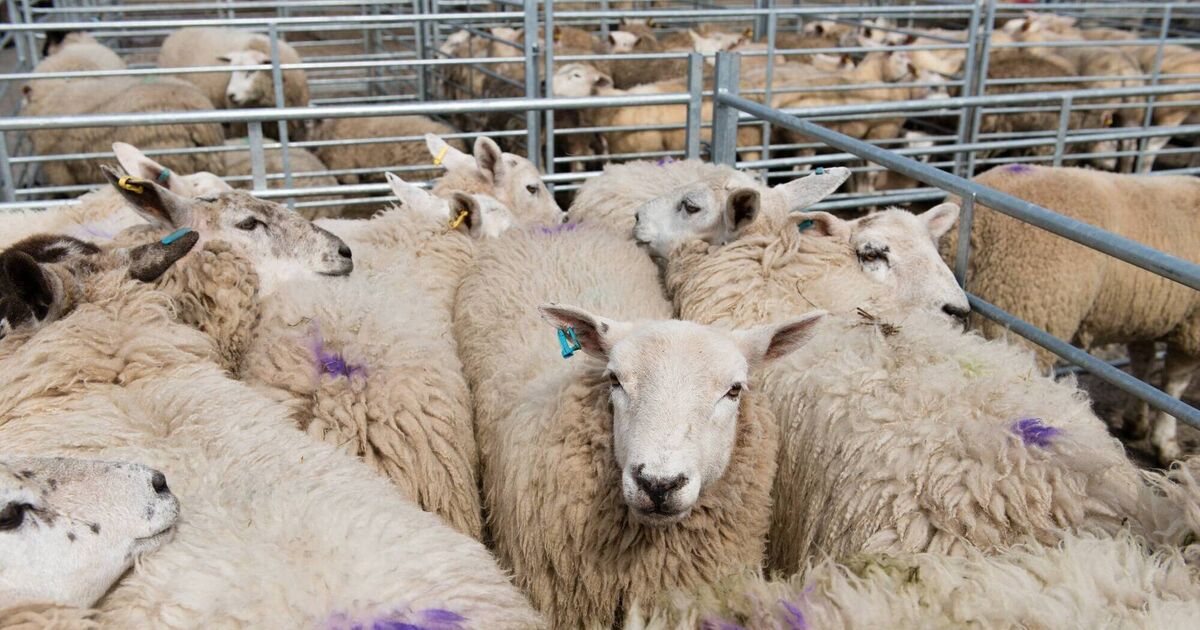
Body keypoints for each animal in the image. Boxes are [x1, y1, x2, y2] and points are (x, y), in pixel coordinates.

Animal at [941, 163, 1200, 465]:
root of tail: (973, 228)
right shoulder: (1193, 329)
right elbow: (1174, 387)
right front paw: (1167, 444)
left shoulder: (1146, 318)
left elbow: (1142, 368)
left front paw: (1137, 423)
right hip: (1024, 314)